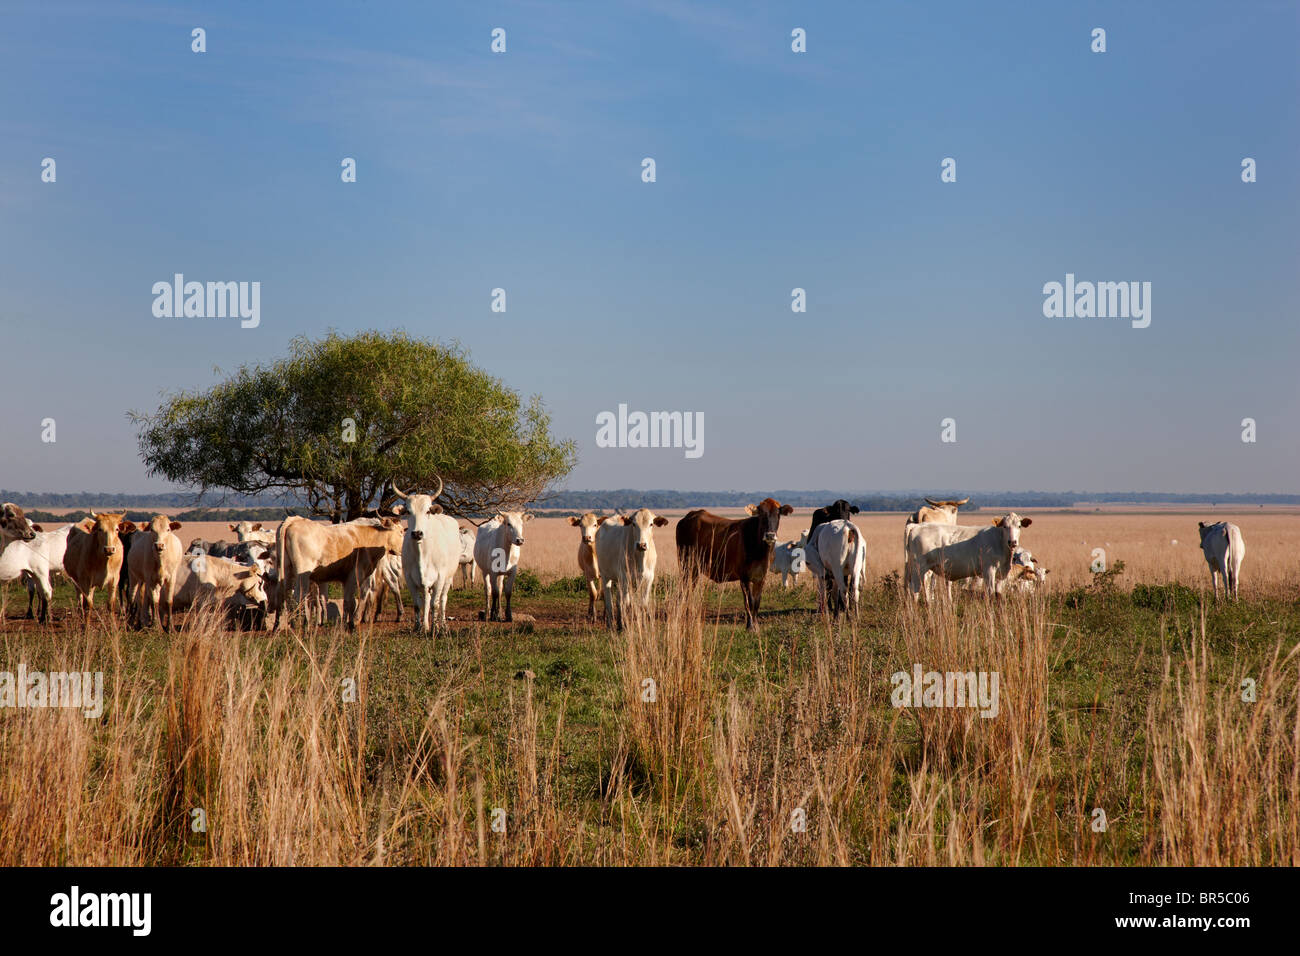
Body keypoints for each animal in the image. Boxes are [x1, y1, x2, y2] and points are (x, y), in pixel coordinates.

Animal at [275, 515, 405, 629]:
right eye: (401, 532)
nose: (402, 551)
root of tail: (293, 520)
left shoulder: (347, 578)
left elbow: (350, 601)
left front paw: (348, 621)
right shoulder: (356, 574)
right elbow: (353, 600)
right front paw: (352, 623)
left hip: (286, 570)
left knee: (284, 595)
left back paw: (285, 624)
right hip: (302, 573)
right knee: (299, 596)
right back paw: (302, 624)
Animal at [392, 480, 462, 632]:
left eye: (428, 511)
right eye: (408, 511)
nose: (417, 533)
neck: (422, 554)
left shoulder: (440, 578)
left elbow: (435, 604)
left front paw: (435, 628)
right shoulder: (410, 579)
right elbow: (418, 605)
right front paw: (419, 627)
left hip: (448, 578)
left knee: (442, 600)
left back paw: (442, 624)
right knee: (426, 599)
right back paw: (426, 625)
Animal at [676, 498, 794, 631]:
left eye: (778, 514)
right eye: (762, 514)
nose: (770, 535)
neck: (760, 551)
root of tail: (689, 516)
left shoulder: (761, 577)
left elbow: (756, 602)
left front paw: (756, 626)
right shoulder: (744, 577)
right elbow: (749, 602)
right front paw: (750, 626)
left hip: (694, 569)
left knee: (688, 590)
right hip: (686, 565)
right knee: (684, 590)